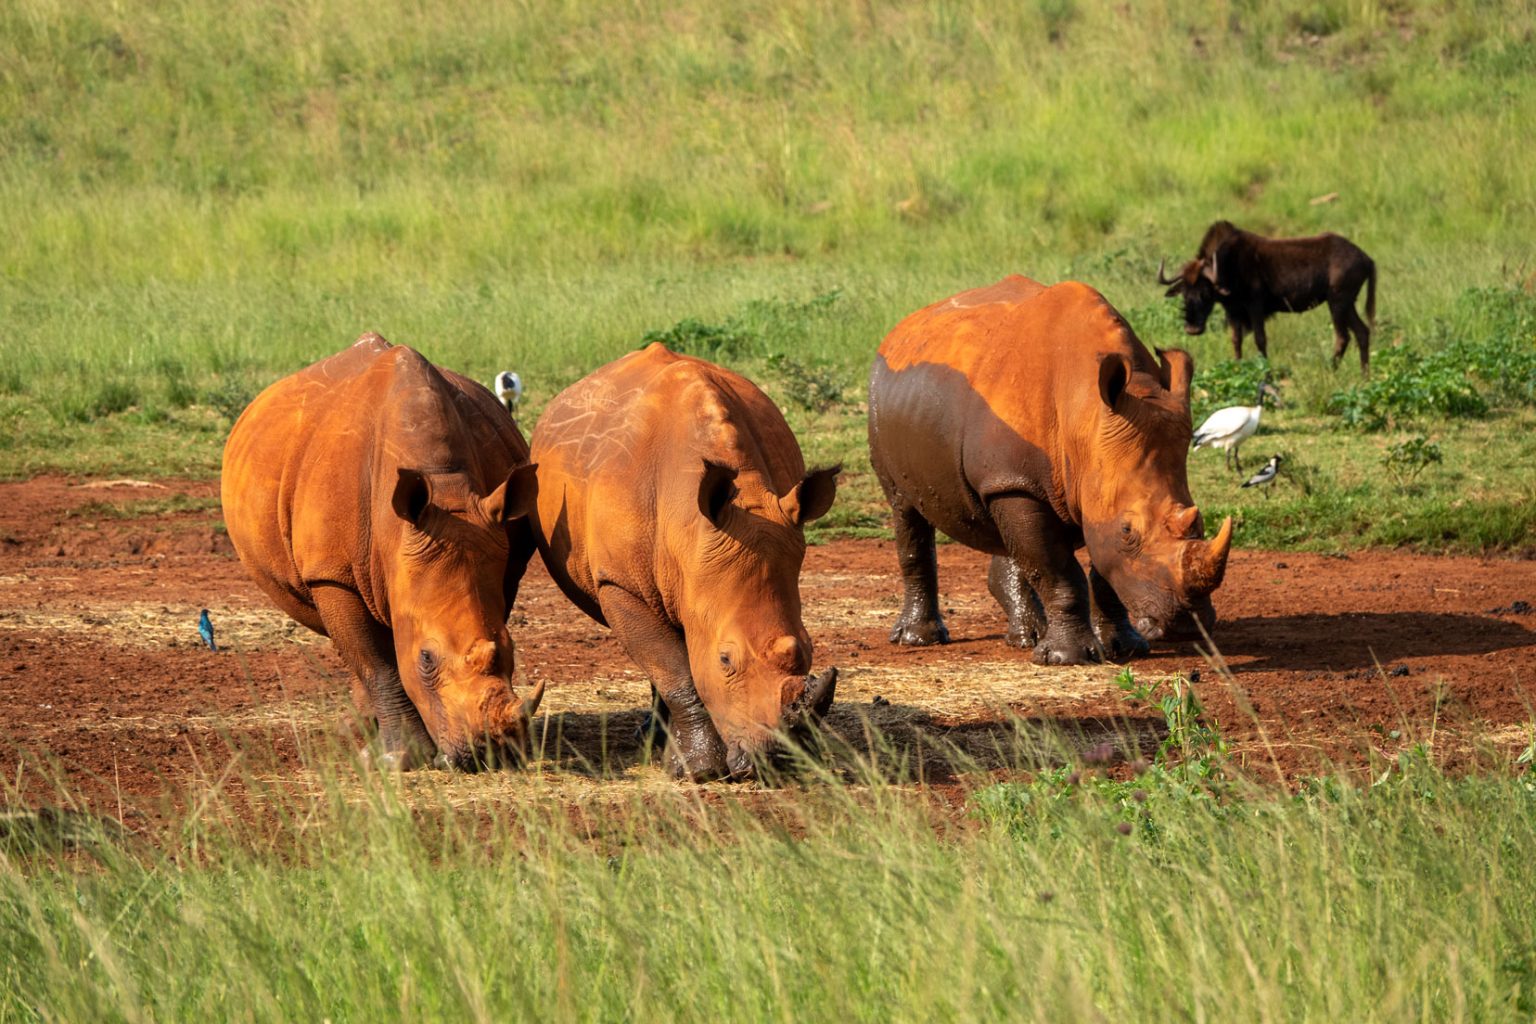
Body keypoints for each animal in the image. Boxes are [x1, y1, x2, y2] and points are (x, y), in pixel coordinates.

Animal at [221, 334, 543, 770]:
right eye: (426, 658)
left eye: (512, 649)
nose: (488, 754)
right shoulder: (331, 572)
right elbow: (377, 662)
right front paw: (400, 759)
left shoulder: (500, 557)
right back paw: (358, 734)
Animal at [529, 343, 840, 781]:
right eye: (725, 660)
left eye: (810, 649)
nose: (775, 761)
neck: (690, 539)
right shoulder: (618, 583)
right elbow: (676, 670)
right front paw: (700, 770)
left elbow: (675, 659)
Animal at [867, 276, 1233, 665]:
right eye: (1127, 530)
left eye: (1199, 522)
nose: (1188, 625)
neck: (1087, 416)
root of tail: (898, 331)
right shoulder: (1020, 483)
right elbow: (1059, 571)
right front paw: (1066, 658)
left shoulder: (1083, 480)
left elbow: (1098, 565)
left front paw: (1128, 648)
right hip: (883, 405)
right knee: (906, 509)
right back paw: (918, 639)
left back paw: (1026, 638)